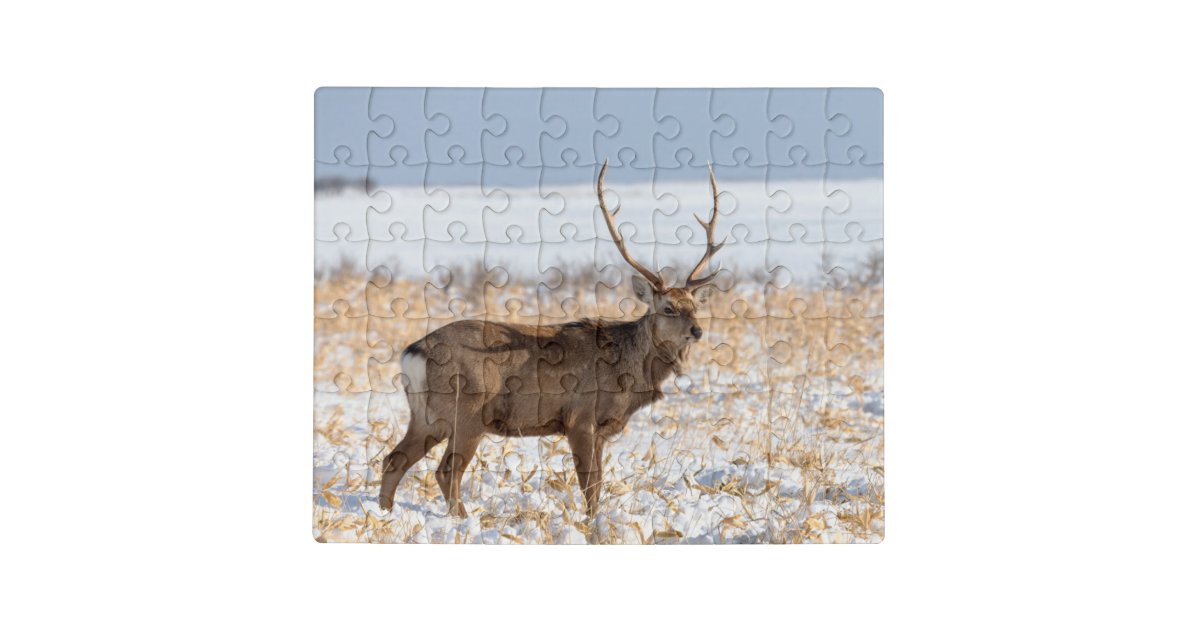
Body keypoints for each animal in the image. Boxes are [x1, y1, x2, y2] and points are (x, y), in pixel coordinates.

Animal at [378, 160, 727, 522]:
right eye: (668, 308)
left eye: (696, 306)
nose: (697, 331)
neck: (627, 371)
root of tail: (412, 353)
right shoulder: (580, 417)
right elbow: (589, 485)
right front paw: (592, 524)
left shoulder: (601, 428)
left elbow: (598, 484)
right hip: (468, 410)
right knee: (446, 470)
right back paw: (462, 519)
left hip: (428, 416)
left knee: (394, 460)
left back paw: (385, 513)